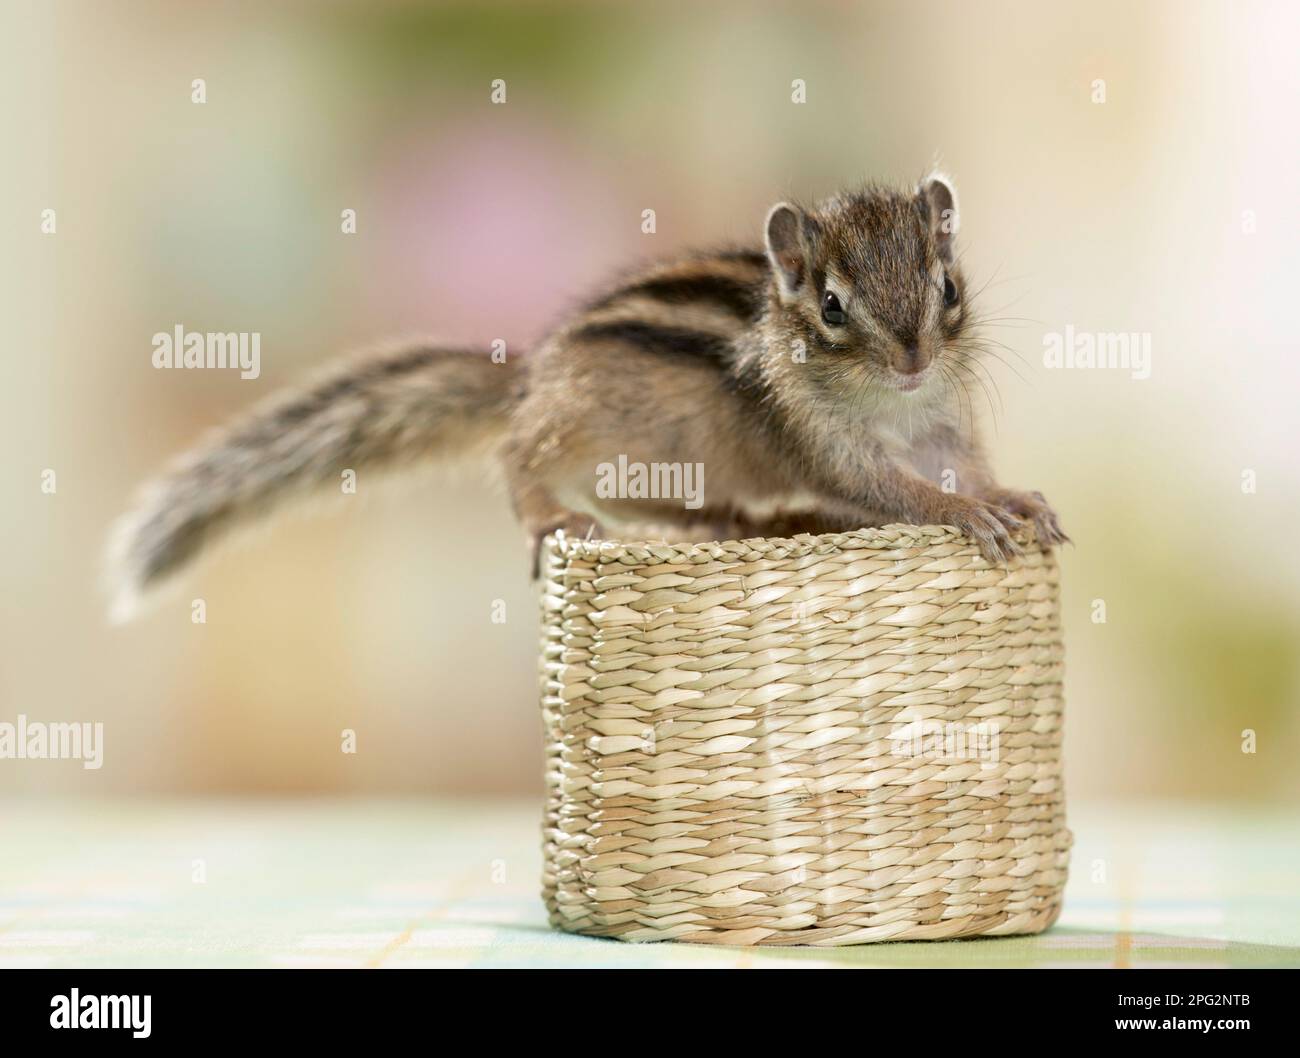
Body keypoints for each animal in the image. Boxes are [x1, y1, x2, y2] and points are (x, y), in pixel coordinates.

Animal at [109, 174, 1066, 619]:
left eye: (948, 288)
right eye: (833, 308)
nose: (912, 357)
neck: (893, 405)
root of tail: (530, 375)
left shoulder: (943, 421)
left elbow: (963, 465)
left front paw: (1014, 497)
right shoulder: (821, 443)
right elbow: (885, 489)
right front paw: (966, 515)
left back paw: (719, 520)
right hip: (575, 427)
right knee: (516, 457)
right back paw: (548, 514)